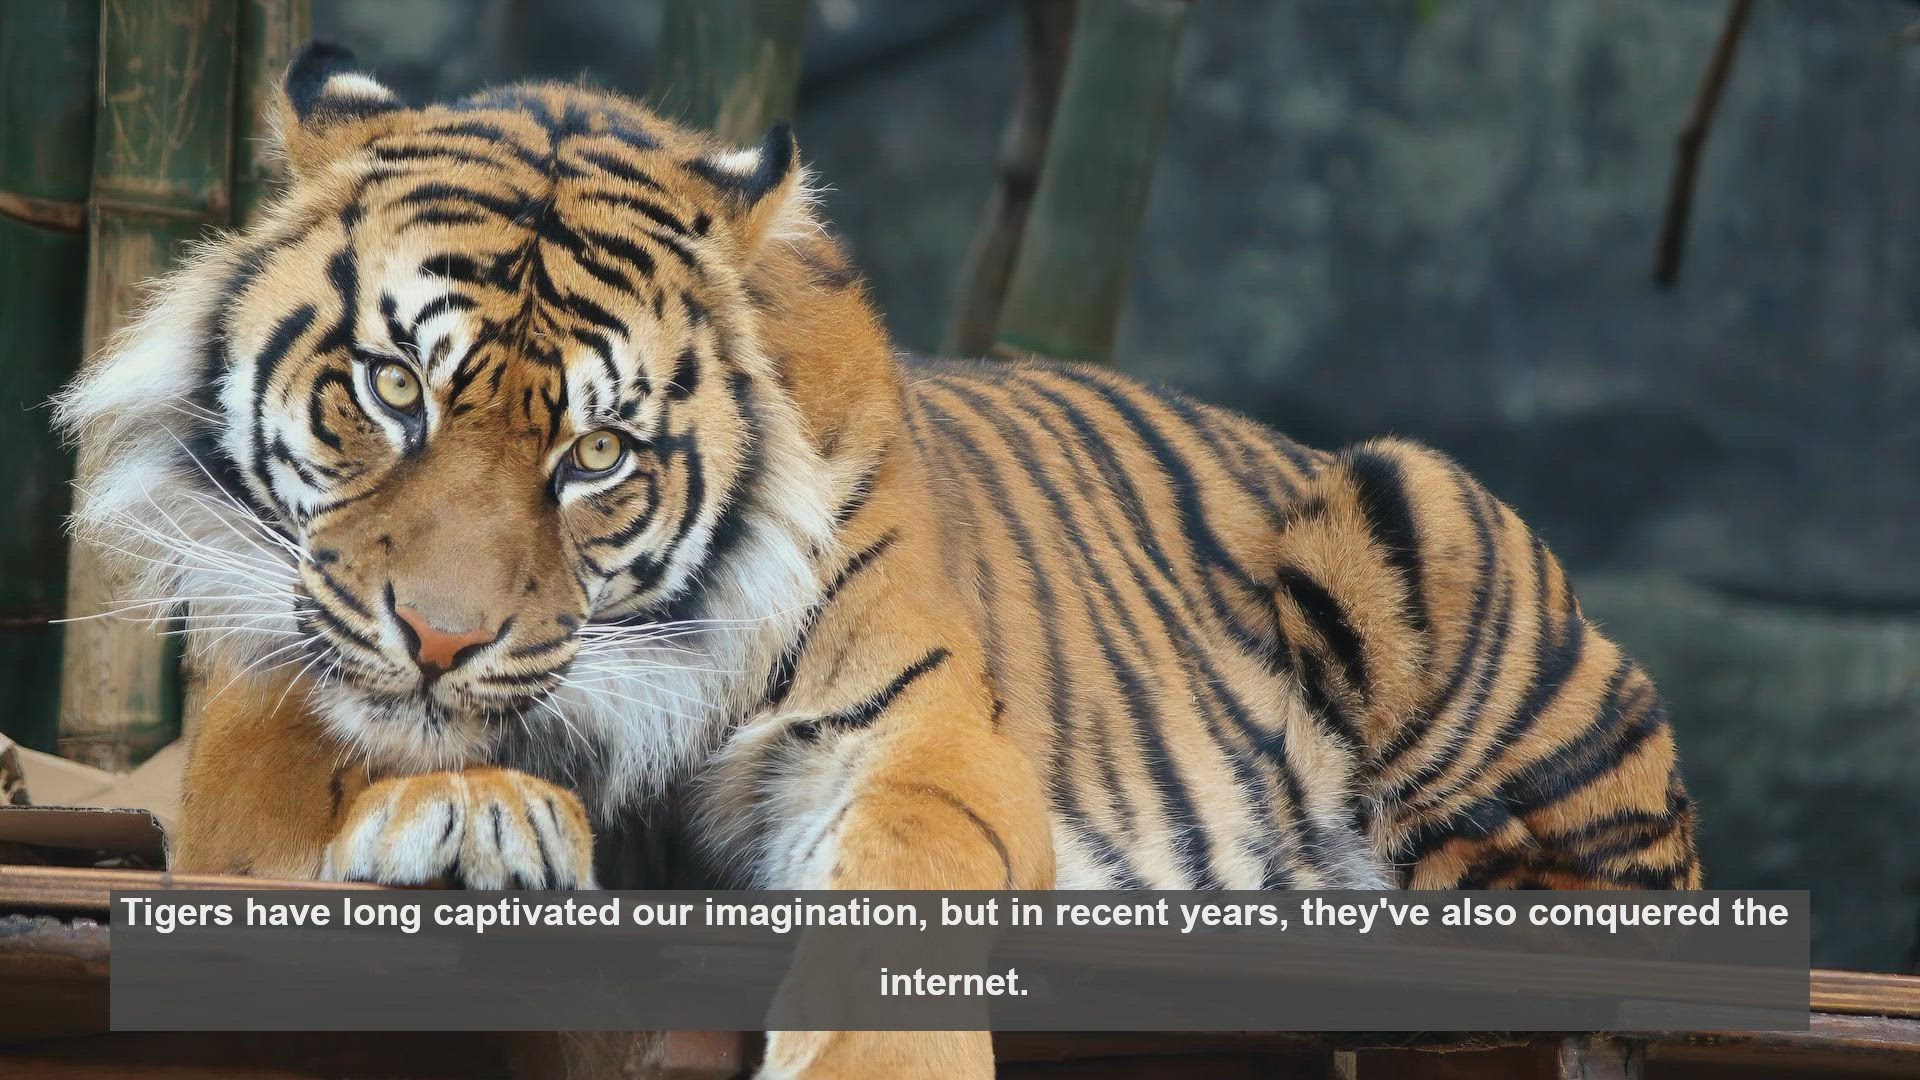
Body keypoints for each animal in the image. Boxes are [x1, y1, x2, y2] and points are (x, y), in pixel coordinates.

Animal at [53, 43, 1699, 1077]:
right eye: (394, 389)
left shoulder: (913, 735)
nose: (441, 642)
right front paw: (467, 813)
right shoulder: (254, 732)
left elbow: (902, 899)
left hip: (1417, 517)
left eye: (596, 457)